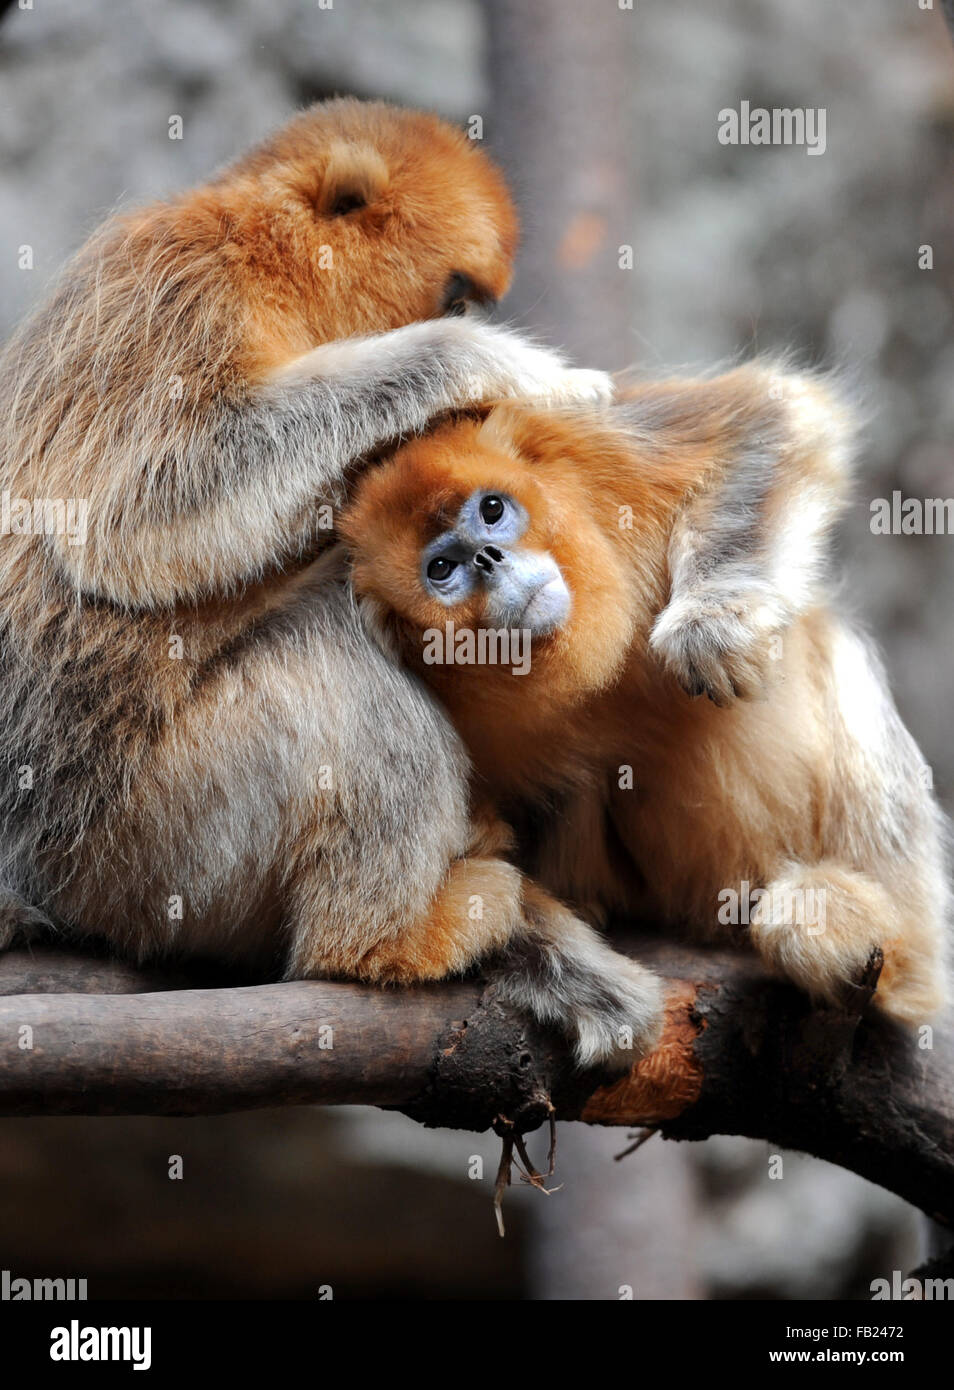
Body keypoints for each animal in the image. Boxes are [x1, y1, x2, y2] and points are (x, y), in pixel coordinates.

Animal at [0, 97, 667, 1070]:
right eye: (455, 297)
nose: (460, 311)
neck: (259, 260)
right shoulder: (174, 281)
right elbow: (137, 516)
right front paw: (486, 360)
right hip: (136, 850)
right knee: (336, 651)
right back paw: (384, 943)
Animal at [339, 360, 950, 1029]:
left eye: (492, 510)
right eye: (442, 570)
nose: (490, 557)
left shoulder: (583, 447)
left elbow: (765, 419)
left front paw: (711, 622)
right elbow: (470, 876)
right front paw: (588, 985)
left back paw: (896, 968)